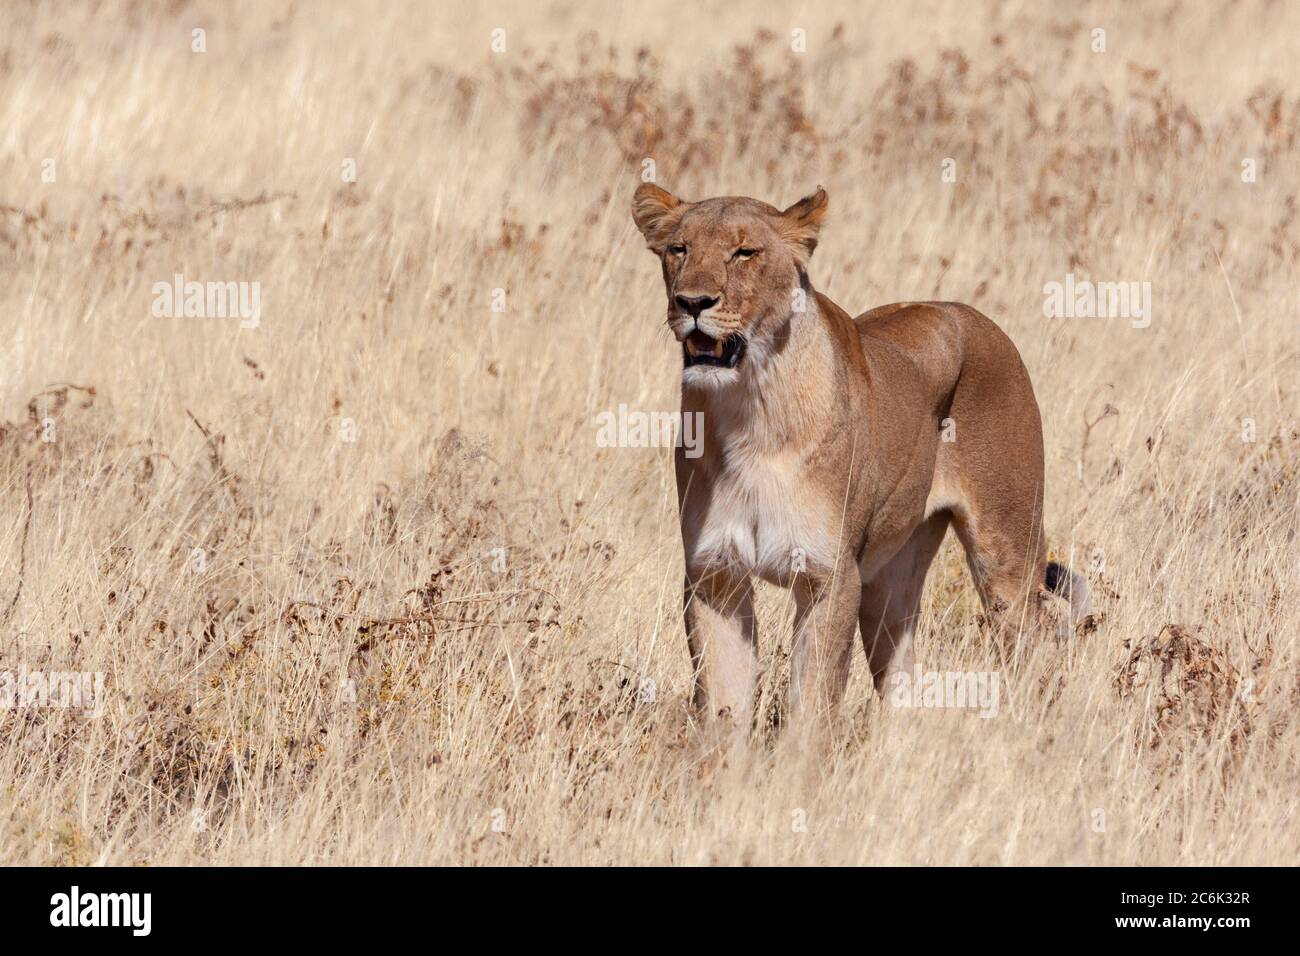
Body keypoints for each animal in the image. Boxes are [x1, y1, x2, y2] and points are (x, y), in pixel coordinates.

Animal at [631, 183, 1090, 738]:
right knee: (903, 674)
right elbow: (723, 704)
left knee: (1036, 642)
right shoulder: (713, 575)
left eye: (744, 252)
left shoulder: (830, 578)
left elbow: (814, 705)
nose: (692, 302)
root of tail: (977, 317)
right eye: (679, 249)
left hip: (1007, 558)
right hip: (890, 583)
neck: (751, 410)